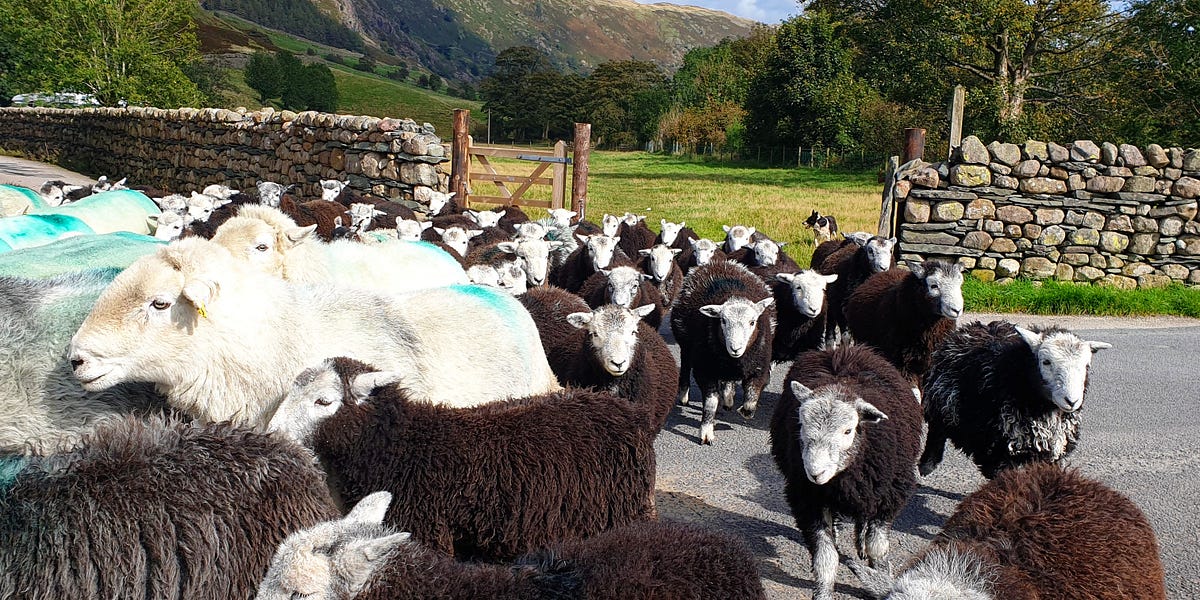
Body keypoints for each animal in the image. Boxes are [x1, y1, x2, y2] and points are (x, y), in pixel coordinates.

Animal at [268, 357, 656, 560]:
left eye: (323, 401)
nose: (273, 432)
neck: (403, 447)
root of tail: (630, 413)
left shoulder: (424, 529)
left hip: (620, 513)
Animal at [671, 260, 775, 444]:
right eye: (723, 321)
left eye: (752, 322)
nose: (735, 348)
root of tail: (720, 262)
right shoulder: (704, 370)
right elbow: (711, 403)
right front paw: (706, 432)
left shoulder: (760, 369)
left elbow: (751, 400)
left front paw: (744, 411)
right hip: (685, 343)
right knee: (685, 365)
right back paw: (684, 394)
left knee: (728, 380)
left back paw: (728, 398)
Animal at [769, 345, 922, 600]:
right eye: (800, 425)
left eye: (848, 431)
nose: (815, 473)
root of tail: (842, 350)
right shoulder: (809, 499)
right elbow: (826, 555)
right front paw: (823, 591)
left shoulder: (888, 498)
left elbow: (877, 547)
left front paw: (881, 576)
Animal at [918, 321, 1112, 479]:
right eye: (1046, 362)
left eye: (1086, 366)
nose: (1071, 401)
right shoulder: (999, 451)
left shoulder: (1052, 452)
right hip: (940, 401)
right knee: (936, 432)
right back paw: (926, 466)